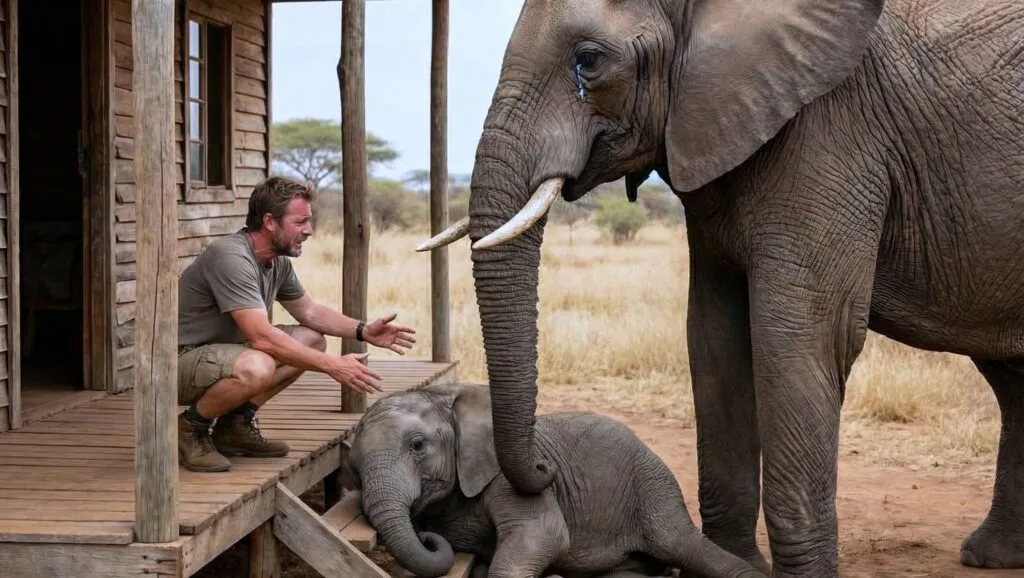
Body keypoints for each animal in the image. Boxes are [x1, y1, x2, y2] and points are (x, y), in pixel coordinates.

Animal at [343, 382, 767, 578]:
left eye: (417, 446)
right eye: (355, 470)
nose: (428, 536)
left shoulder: (505, 478)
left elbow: (542, 535)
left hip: (652, 486)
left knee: (682, 543)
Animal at [413, 0, 1024, 575]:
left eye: (588, 61)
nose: (543, 470)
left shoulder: (832, 134)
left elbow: (799, 337)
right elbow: (714, 336)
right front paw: (737, 566)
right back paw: (991, 556)